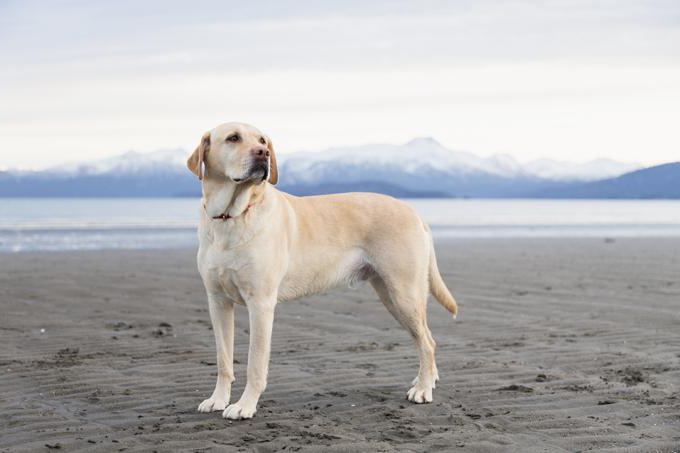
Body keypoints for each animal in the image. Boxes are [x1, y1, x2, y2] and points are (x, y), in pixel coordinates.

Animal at [189, 122, 460, 418]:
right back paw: (426, 379)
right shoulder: (218, 302)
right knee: (424, 339)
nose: (263, 154)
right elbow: (223, 359)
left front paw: (244, 405)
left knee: (428, 342)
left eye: (262, 141)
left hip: (404, 293)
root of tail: (414, 212)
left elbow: (255, 364)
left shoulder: (260, 304)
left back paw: (423, 389)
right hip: (391, 295)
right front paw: (218, 399)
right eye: (233, 138)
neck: (231, 216)